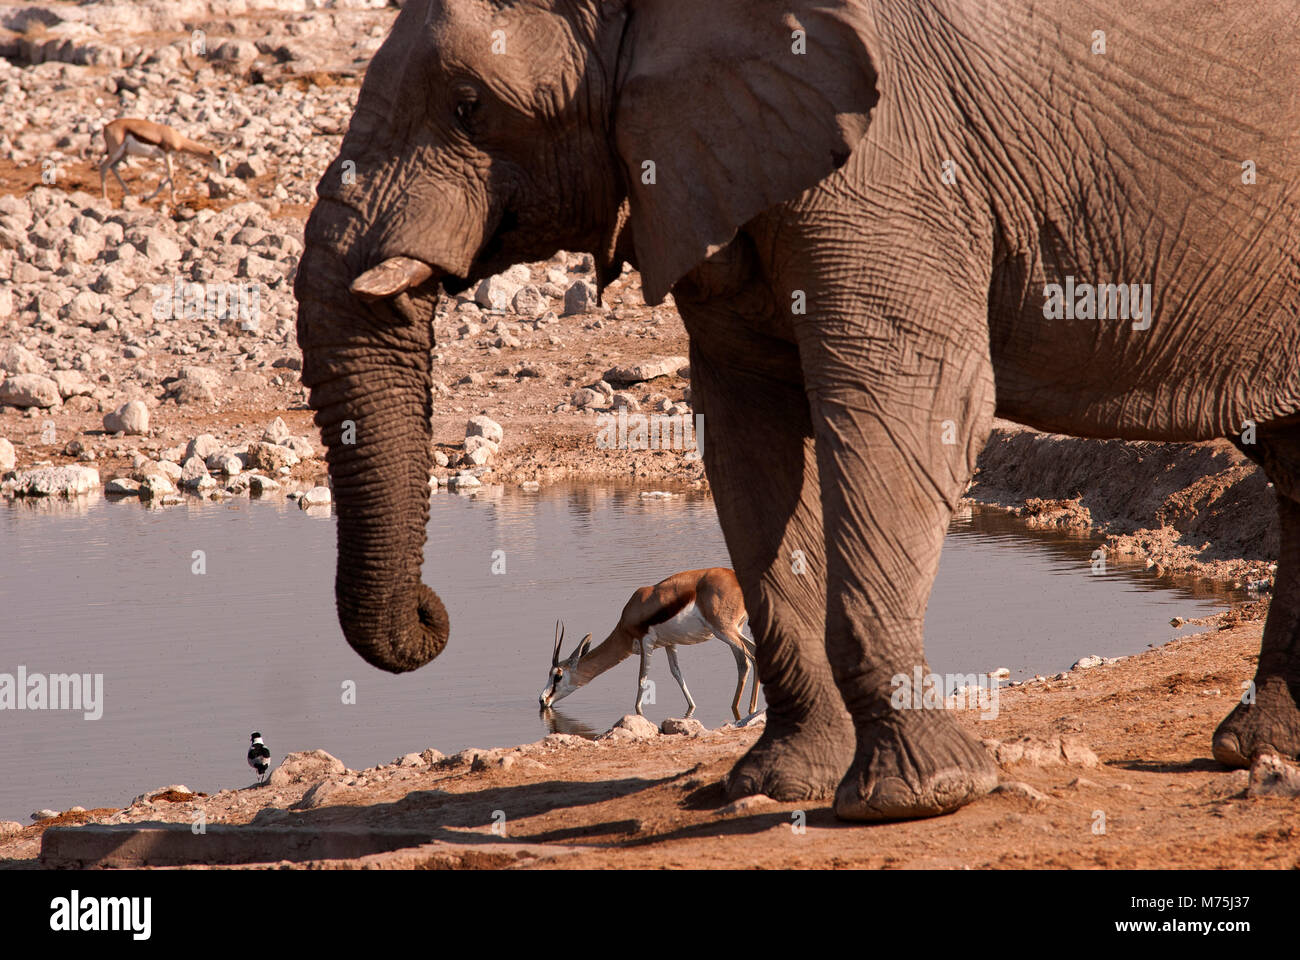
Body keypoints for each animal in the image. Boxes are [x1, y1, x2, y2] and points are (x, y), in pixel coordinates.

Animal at [294, 0, 1300, 822]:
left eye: (469, 105)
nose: (434, 613)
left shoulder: (895, 159)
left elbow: (910, 402)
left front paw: (917, 800)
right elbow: (748, 433)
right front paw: (778, 786)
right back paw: (1254, 753)